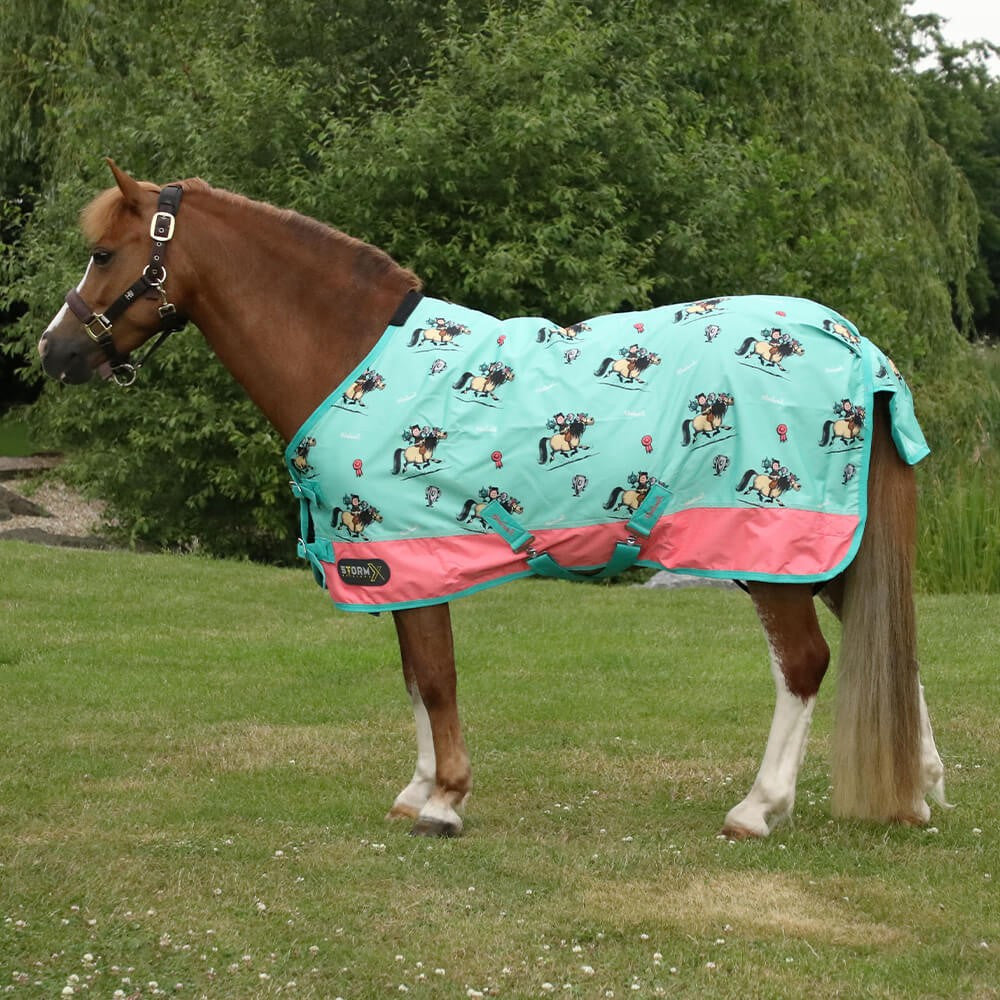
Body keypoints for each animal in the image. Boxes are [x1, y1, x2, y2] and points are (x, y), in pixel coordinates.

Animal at [37, 160, 948, 839]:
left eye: (105, 254)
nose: (53, 352)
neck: (352, 358)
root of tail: (854, 349)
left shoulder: (403, 552)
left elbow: (436, 678)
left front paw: (444, 802)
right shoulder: (398, 564)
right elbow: (414, 678)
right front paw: (418, 789)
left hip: (770, 547)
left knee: (807, 664)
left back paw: (759, 809)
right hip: (831, 547)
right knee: (888, 641)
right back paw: (920, 789)